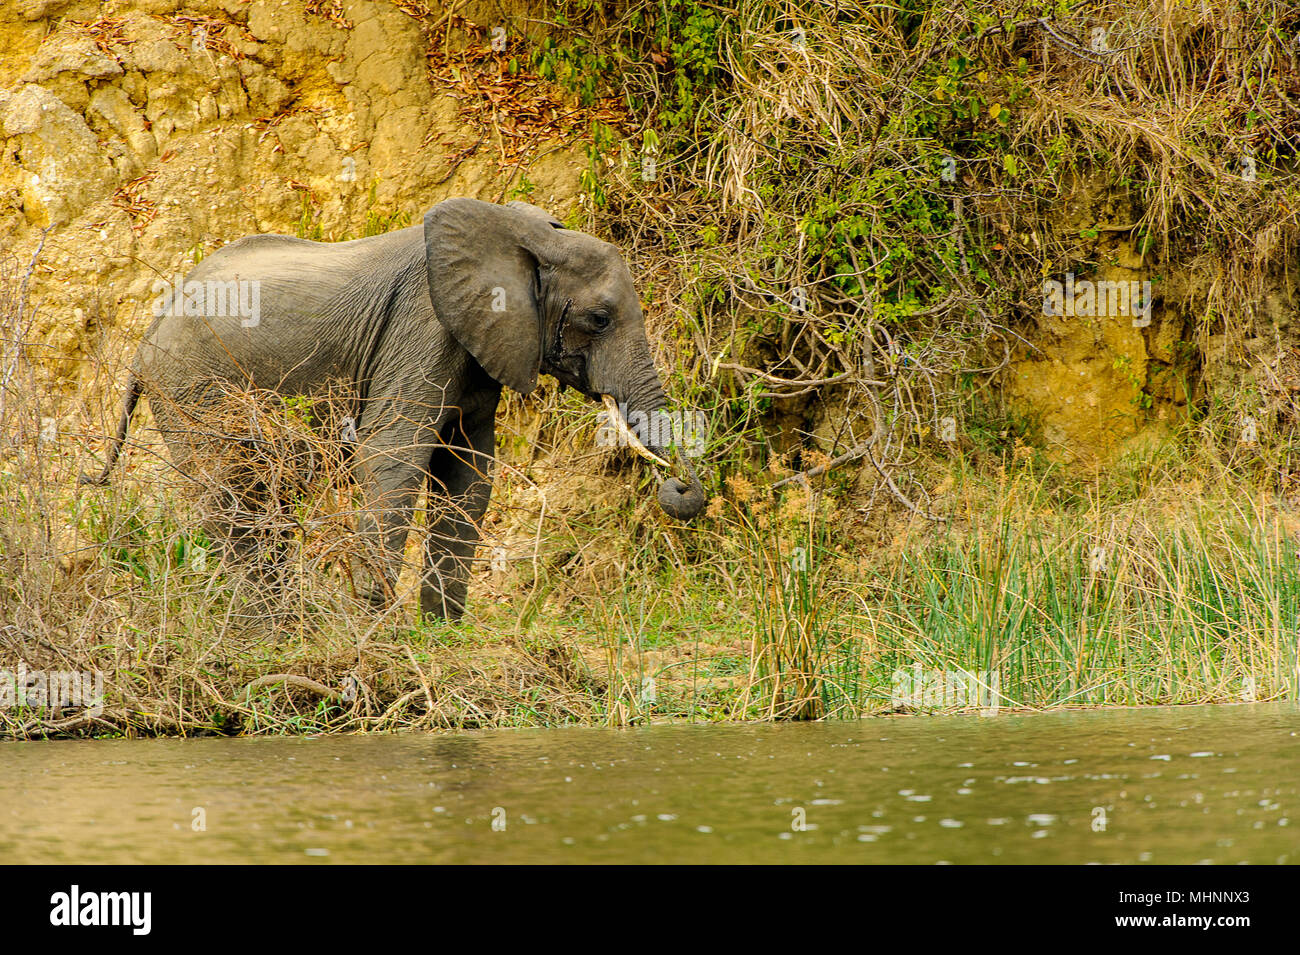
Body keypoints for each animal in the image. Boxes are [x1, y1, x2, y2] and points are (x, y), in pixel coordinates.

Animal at [81, 197, 705, 618]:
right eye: (599, 319)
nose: (677, 487)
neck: (524, 235)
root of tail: (147, 334)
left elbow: (470, 476)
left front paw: (441, 635)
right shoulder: (423, 327)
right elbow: (393, 457)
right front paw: (372, 627)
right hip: (192, 389)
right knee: (230, 493)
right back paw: (265, 628)